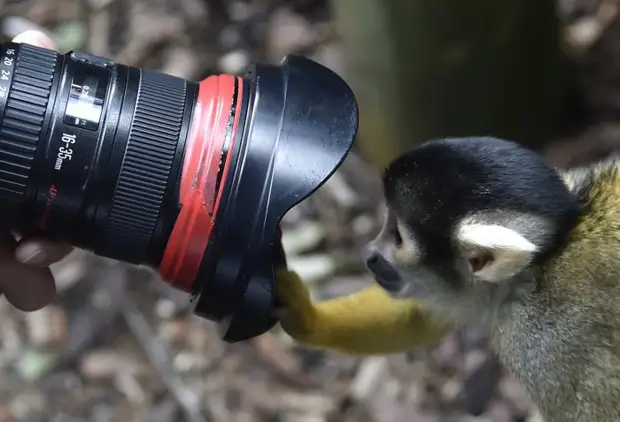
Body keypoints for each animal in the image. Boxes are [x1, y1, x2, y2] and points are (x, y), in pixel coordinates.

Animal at [278, 136, 620, 422]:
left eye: (397, 238)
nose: (370, 255)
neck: (536, 269)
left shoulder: (550, 349)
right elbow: (423, 315)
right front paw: (306, 318)